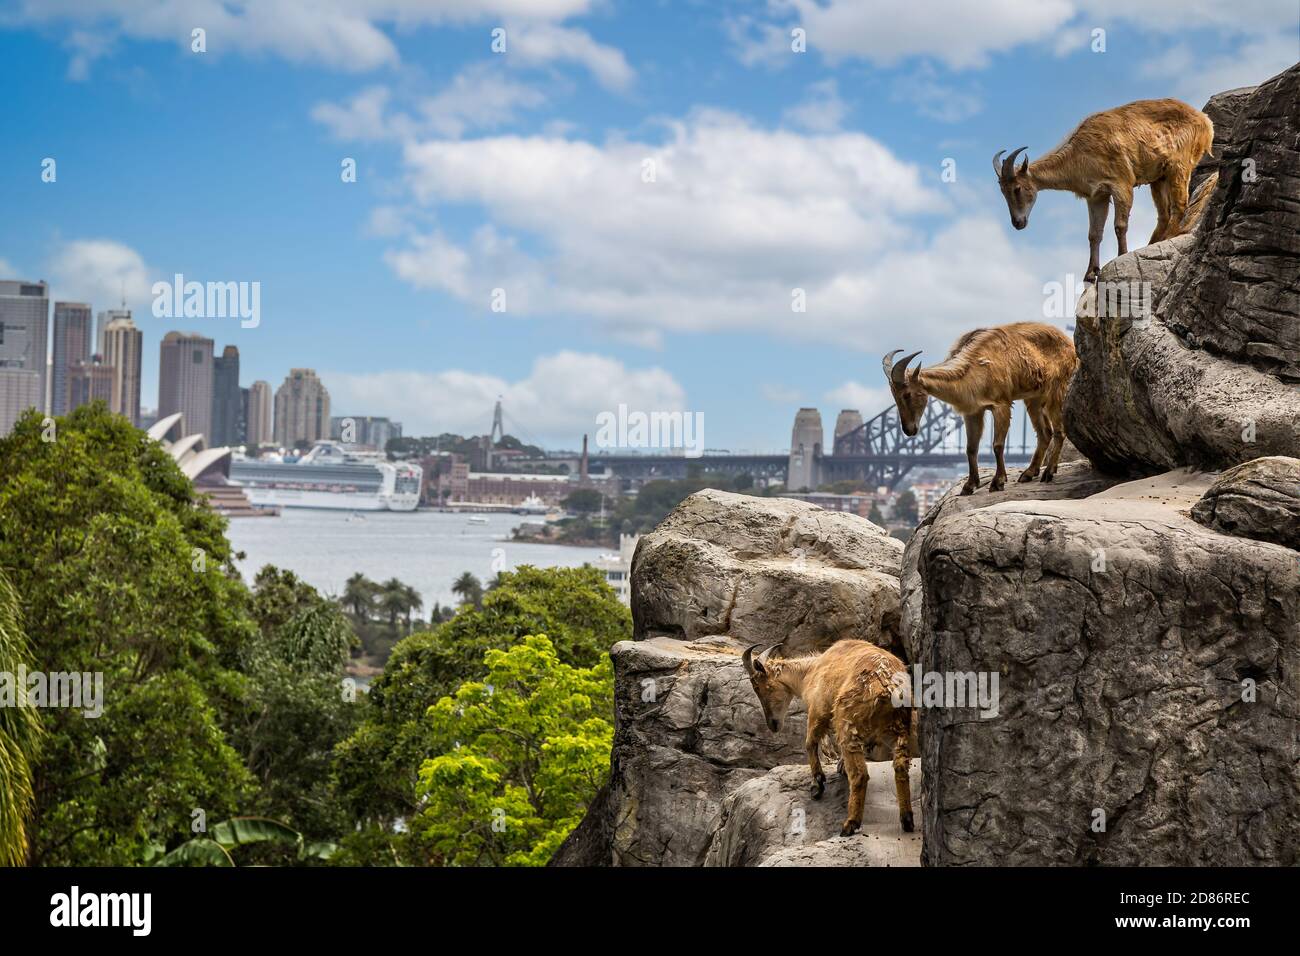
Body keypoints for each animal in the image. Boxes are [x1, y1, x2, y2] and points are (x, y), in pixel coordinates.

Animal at [743, 639, 914, 836]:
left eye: (758, 686)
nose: (773, 724)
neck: (811, 671)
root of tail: (887, 687)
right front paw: (839, 766)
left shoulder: (818, 710)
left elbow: (810, 743)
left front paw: (817, 784)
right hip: (900, 728)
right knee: (900, 768)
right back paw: (907, 820)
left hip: (847, 721)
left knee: (860, 775)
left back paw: (849, 824)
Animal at [883, 322, 1077, 495]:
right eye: (894, 396)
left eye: (907, 394)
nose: (909, 430)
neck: (975, 368)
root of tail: (1070, 345)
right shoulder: (973, 411)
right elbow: (971, 448)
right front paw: (969, 486)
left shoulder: (1001, 405)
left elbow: (997, 445)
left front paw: (998, 482)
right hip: (1033, 399)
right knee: (1045, 433)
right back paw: (1029, 473)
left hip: (1056, 391)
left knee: (1059, 432)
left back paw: (1048, 472)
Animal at [995, 98, 1214, 282]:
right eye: (1003, 192)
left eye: (1017, 188)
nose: (1018, 223)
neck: (1080, 153)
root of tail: (1206, 123)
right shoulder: (1097, 196)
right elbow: (1094, 234)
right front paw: (1090, 274)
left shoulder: (1121, 183)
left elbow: (1120, 225)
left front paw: (1121, 256)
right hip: (1158, 178)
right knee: (1164, 214)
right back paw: (1154, 242)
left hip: (1179, 166)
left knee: (1179, 205)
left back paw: (1168, 237)